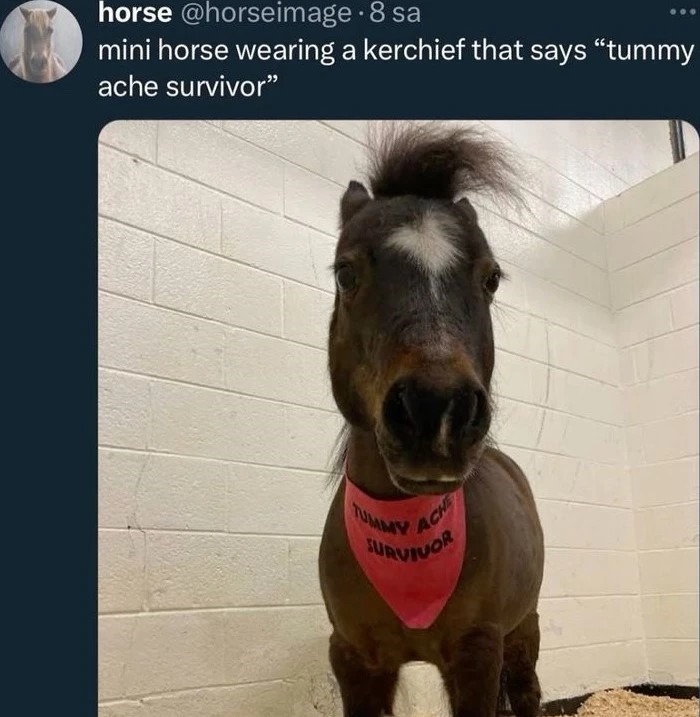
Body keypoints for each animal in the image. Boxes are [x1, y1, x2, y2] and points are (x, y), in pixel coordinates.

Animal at [318, 123, 545, 717]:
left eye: (491, 278)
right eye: (345, 272)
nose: (435, 410)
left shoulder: (477, 652)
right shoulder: (353, 659)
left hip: (524, 631)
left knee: (528, 691)